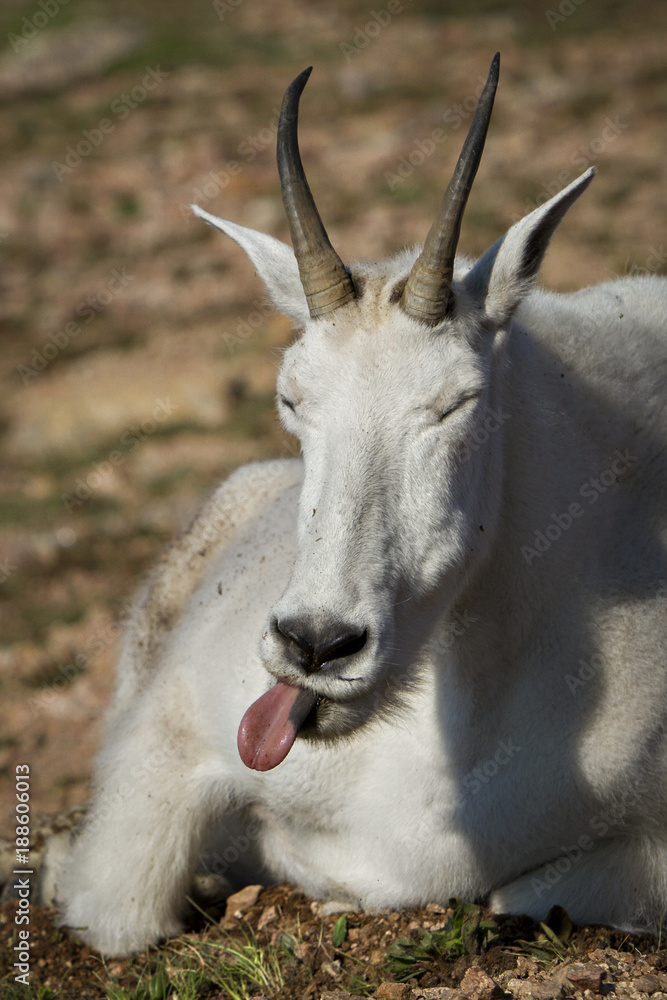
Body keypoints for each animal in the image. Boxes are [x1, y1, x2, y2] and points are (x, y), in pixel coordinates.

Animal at [60, 54, 667, 955]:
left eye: (456, 402)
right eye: (291, 397)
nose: (316, 646)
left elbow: (521, 892)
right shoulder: (167, 738)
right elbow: (118, 911)